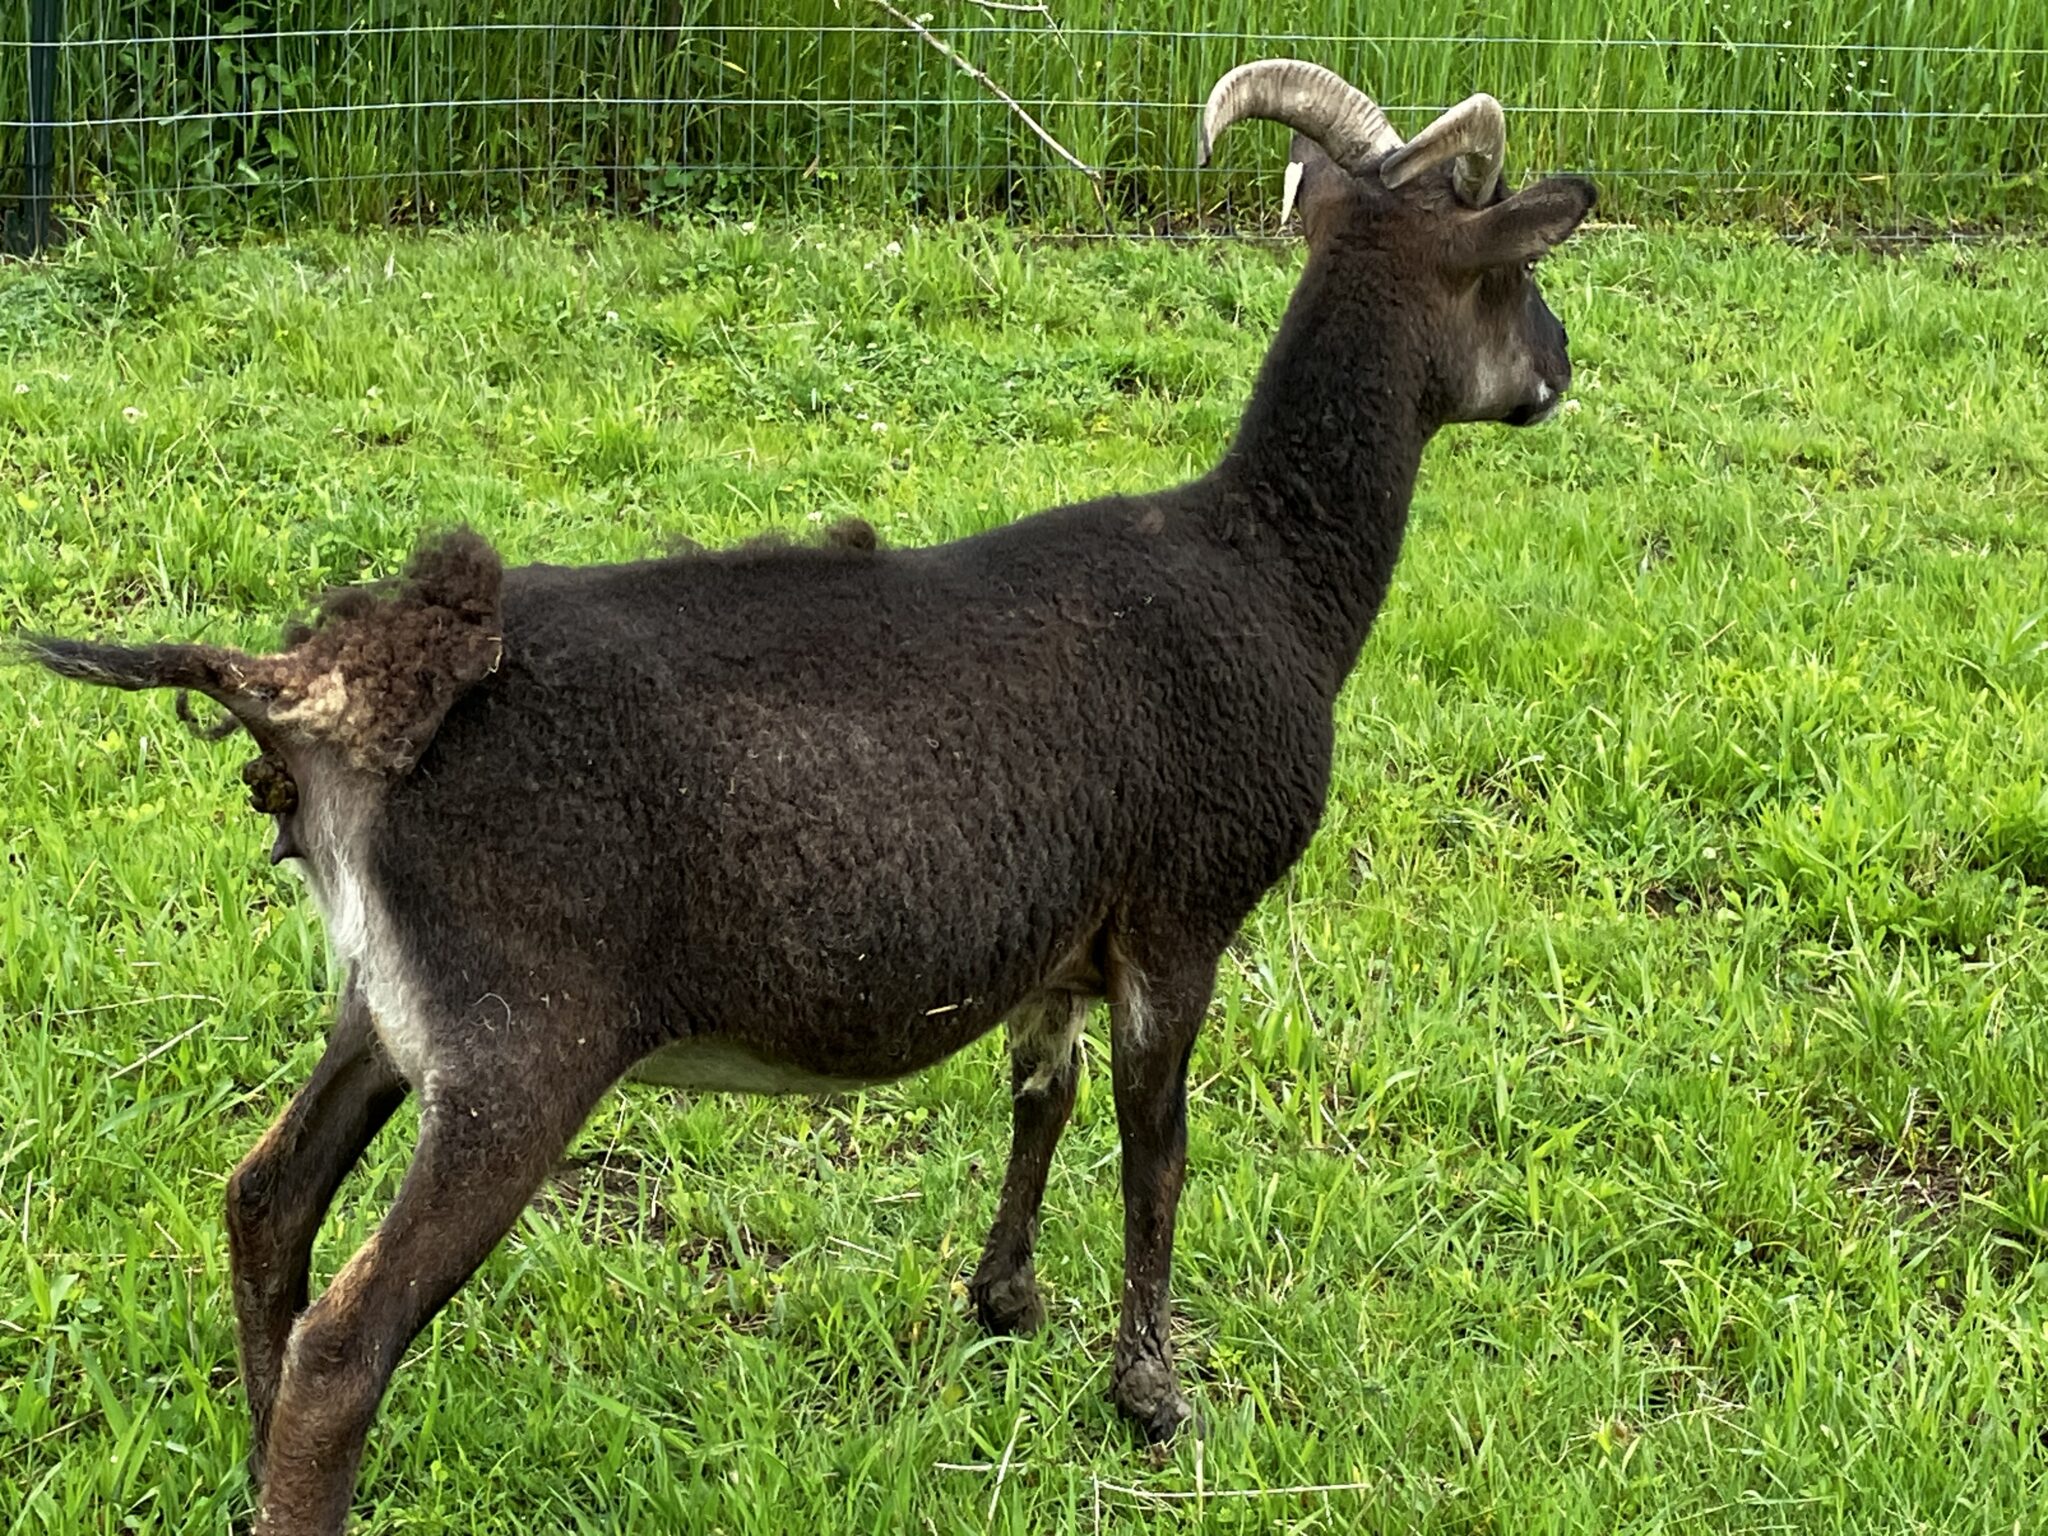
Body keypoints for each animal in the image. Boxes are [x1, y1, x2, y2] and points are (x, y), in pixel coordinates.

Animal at [23, 59, 1595, 1534]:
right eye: (1513, 272)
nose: (1559, 371)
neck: (1267, 568)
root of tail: (336, 681)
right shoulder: (1179, 917)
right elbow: (1156, 1157)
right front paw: (1152, 1396)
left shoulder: (1058, 933)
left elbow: (1039, 1097)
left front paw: (1004, 1301)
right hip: (522, 1048)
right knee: (347, 1345)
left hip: (385, 1006)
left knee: (263, 1208)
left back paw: (243, 1459)